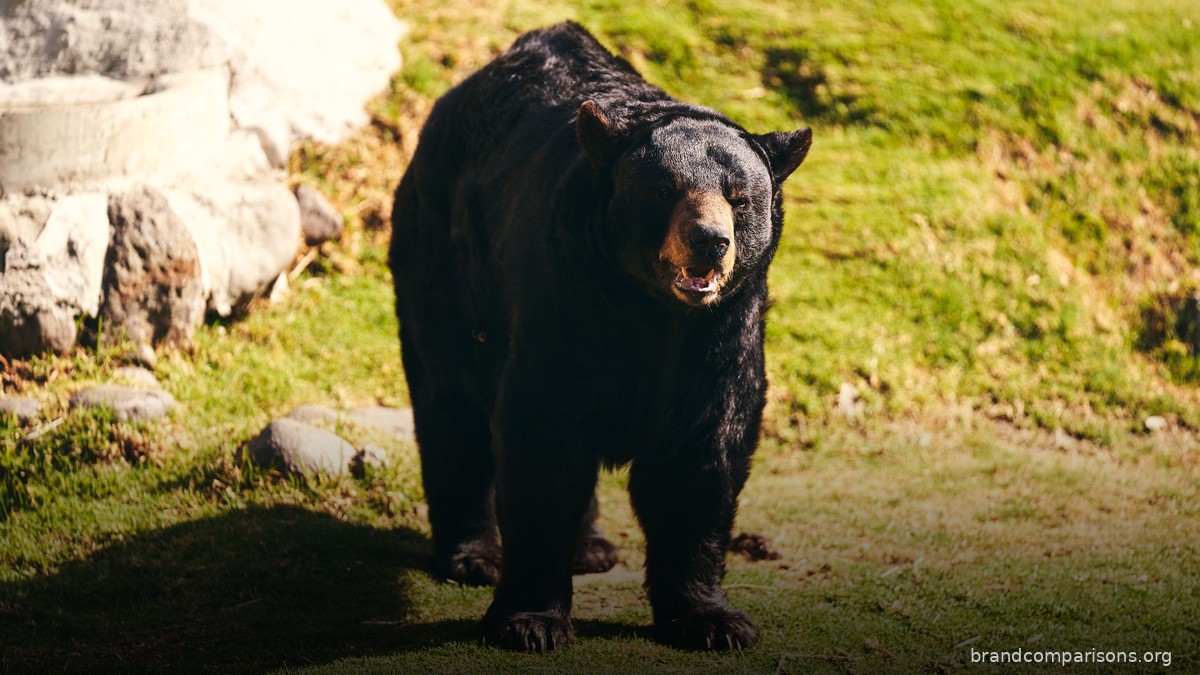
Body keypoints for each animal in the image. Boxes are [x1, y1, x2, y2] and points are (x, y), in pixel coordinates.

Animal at [389, 22, 811, 653]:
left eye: (740, 198)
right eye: (666, 190)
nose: (710, 241)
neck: (648, 307)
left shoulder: (720, 331)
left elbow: (702, 451)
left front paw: (711, 619)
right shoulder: (566, 297)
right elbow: (542, 434)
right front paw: (531, 621)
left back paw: (589, 547)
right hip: (441, 257)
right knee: (452, 404)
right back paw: (473, 554)